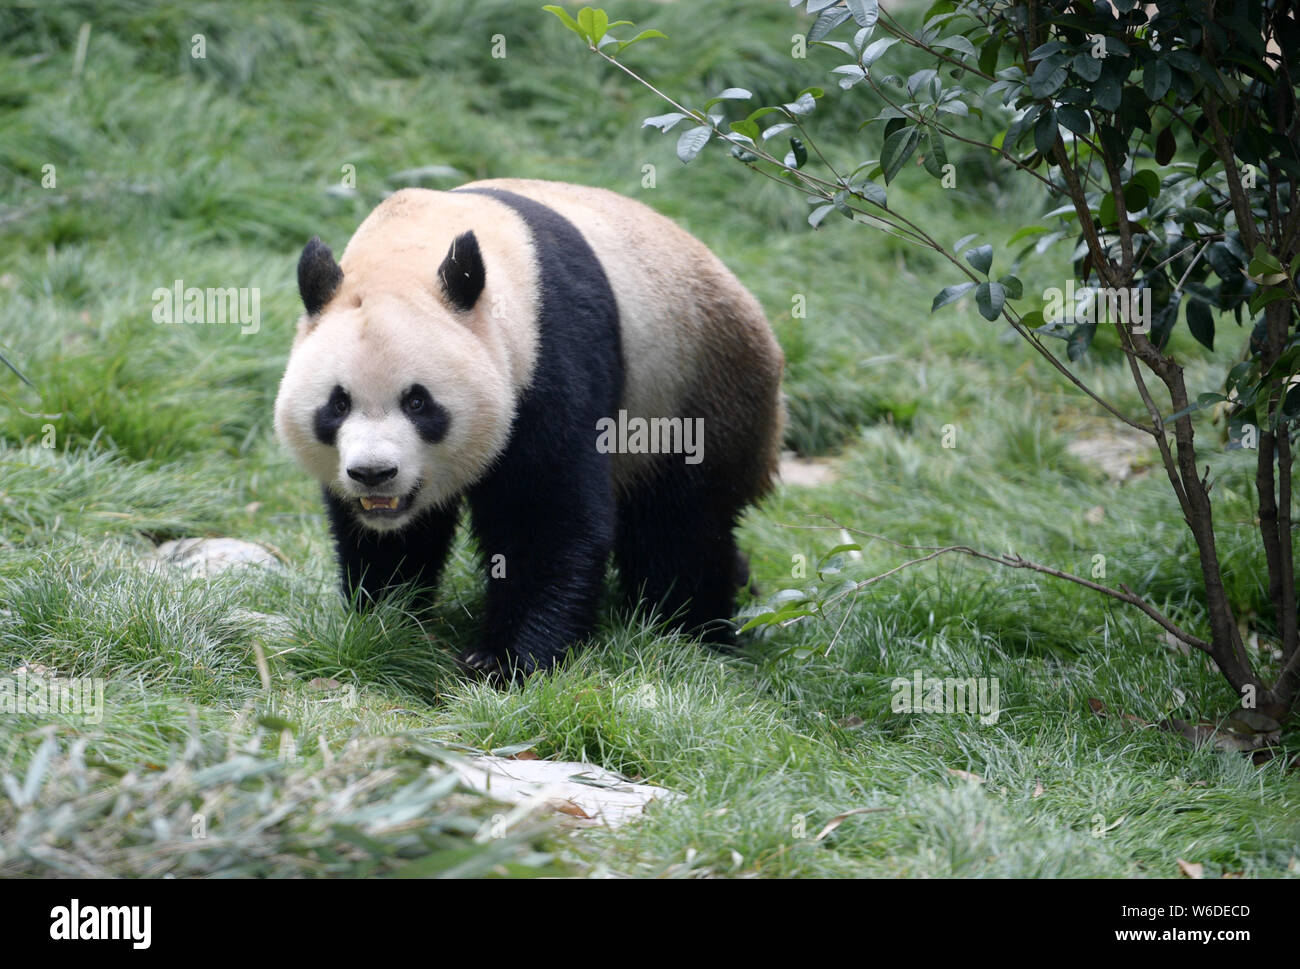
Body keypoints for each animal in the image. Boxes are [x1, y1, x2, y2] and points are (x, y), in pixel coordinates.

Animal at [274, 179, 785, 677]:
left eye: (418, 401)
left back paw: (694, 630)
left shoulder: (553, 352)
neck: (407, 252)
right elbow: (391, 541)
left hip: (696, 395)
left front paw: (507, 661)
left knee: (680, 526)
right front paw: (385, 620)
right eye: (338, 404)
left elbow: (546, 513)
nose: (374, 474)